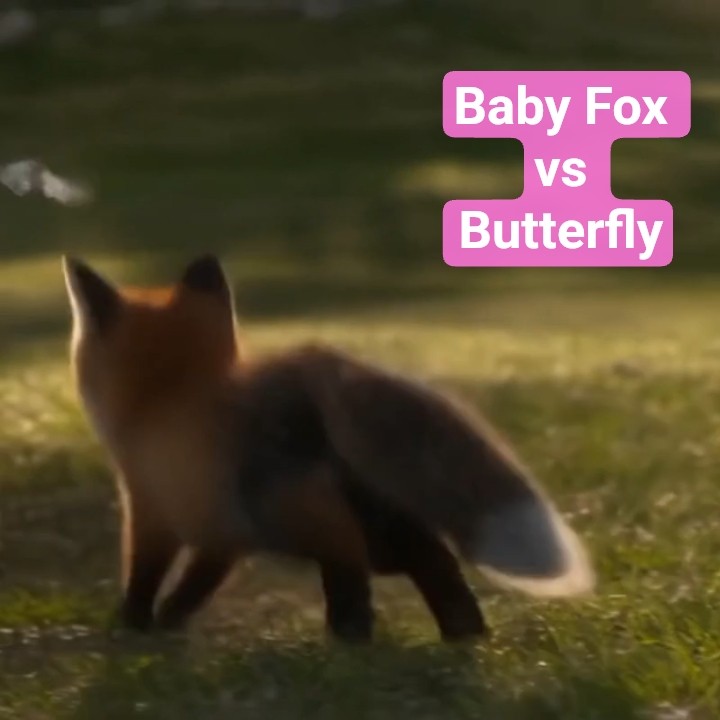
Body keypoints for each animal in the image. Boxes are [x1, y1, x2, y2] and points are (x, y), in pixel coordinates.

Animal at [62, 253, 595, 642]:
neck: (173, 397)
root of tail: (314, 369)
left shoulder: (165, 514)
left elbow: (154, 579)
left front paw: (144, 627)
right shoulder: (221, 532)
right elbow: (192, 579)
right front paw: (158, 626)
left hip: (316, 524)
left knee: (356, 579)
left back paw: (351, 643)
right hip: (381, 527)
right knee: (434, 562)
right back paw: (462, 636)